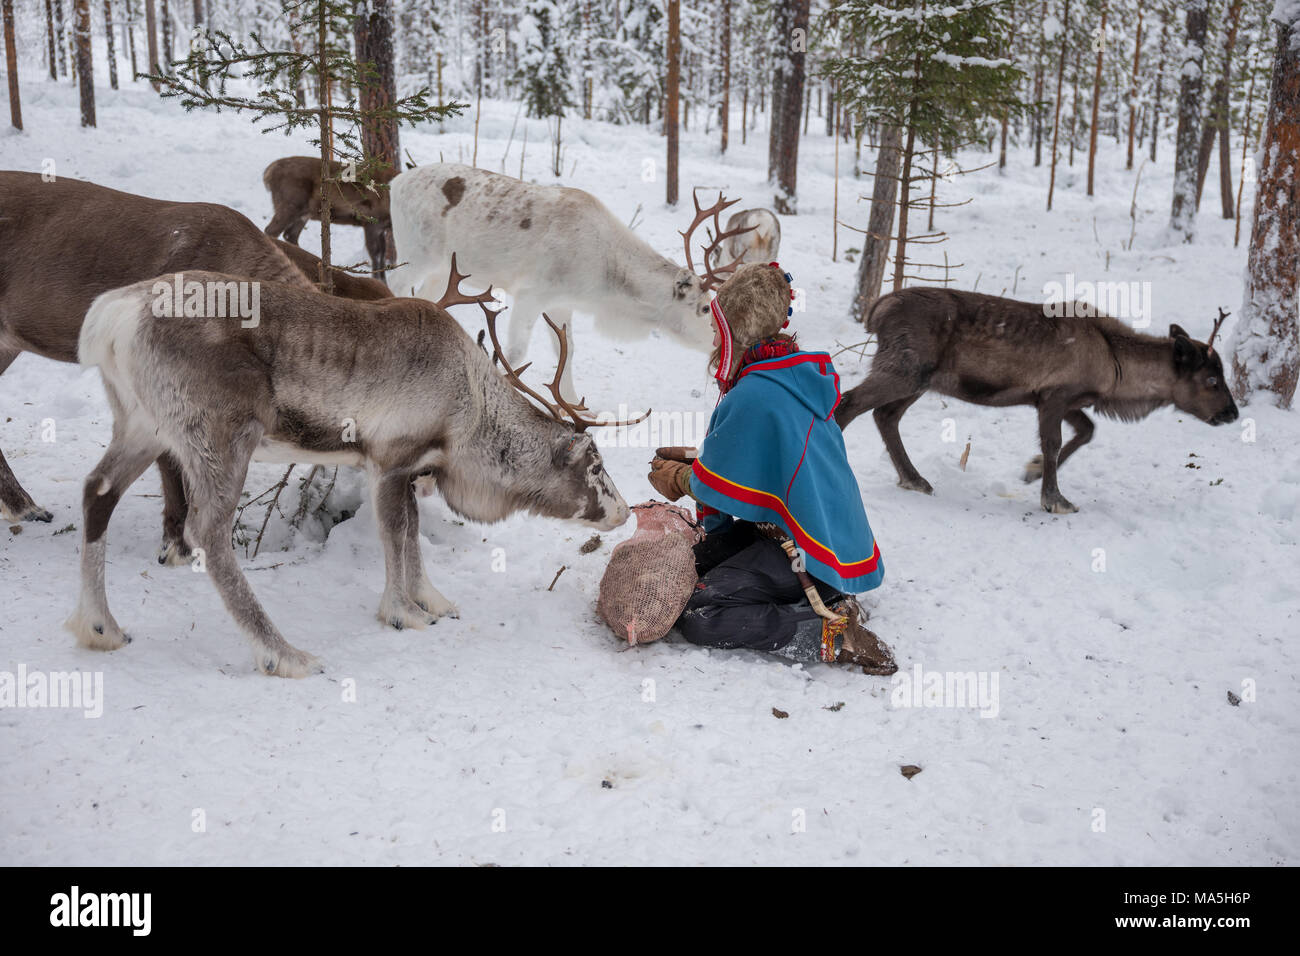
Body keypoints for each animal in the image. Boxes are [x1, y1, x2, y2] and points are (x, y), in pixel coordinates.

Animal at [71, 257, 639, 677]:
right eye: (594, 465)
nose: (625, 512)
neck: (468, 414)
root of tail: (113, 317)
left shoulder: (410, 466)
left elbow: (410, 530)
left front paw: (432, 600)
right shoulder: (389, 458)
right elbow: (393, 531)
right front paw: (403, 613)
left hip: (141, 423)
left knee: (97, 489)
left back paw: (100, 628)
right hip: (221, 433)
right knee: (208, 530)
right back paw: (285, 655)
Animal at [263, 156, 397, 283]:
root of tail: (268, 173)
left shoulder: (381, 227)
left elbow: (382, 254)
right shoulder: (371, 222)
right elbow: (376, 254)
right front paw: (380, 281)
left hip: (304, 213)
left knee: (290, 235)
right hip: (289, 204)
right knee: (271, 230)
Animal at [387, 166, 754, 401]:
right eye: (705, 308)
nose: (725, 345)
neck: (607, 283)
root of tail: (395, 181)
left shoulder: (562, 303)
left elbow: (568, 350)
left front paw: (575, 403)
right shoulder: (531, 294)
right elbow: (516, 352)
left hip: (442, 268)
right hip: (416, 251)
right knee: (395, 280)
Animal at [834, 288, 1239, 514]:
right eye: (1212, 380)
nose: (1233, 413)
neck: (1116, 364)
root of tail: (878, 308)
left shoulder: (1065, 401)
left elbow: (1086, 432)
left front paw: (1031, 470)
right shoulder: (1053, 397)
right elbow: (1055, 442)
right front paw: (1054, 499)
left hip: (919, 381)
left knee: (885, 415)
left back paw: (915, 479)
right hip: (905, 370)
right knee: (850, 402)